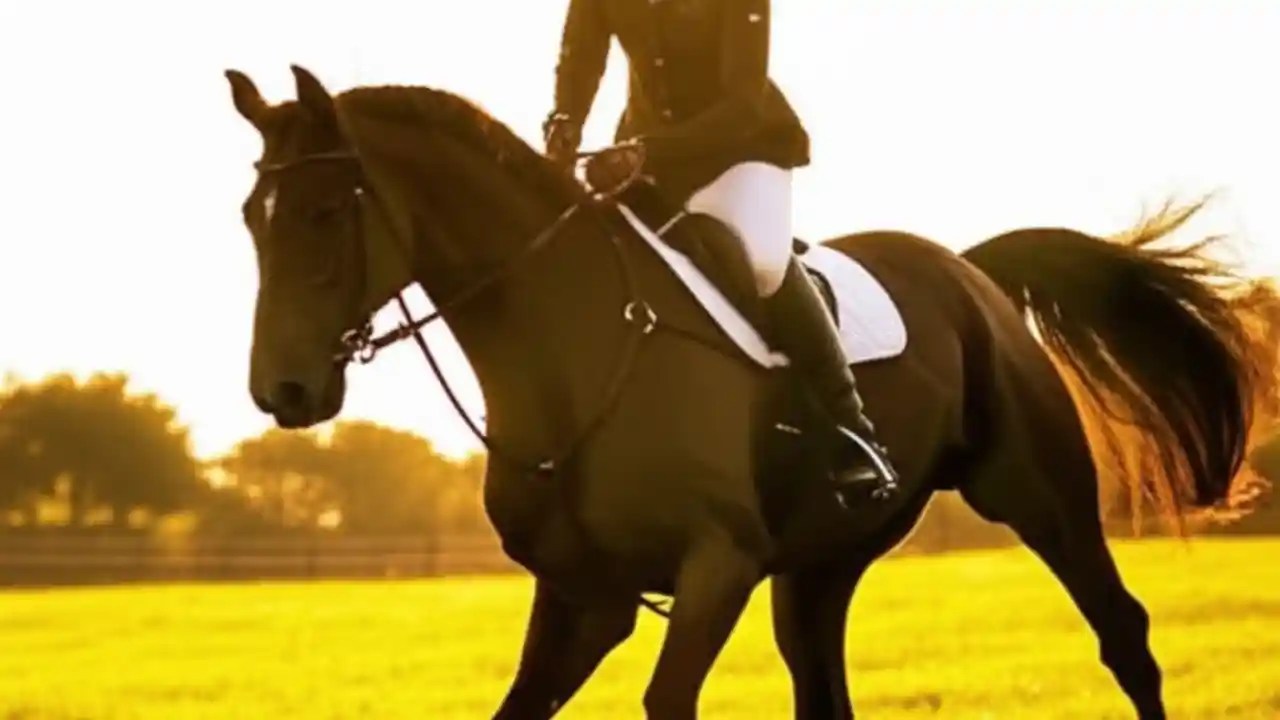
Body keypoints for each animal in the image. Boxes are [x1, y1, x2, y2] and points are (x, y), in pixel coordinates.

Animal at [223, 65, 1274, 719]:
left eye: (324, 212)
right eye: (250, 216)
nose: (284, 390)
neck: (569, 355)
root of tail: (966, 268)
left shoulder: (716, 567)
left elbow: (667, 701)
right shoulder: (583, 594)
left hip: (1039, 495)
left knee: (1124, 633)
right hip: (819, 570)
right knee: (825, 685)